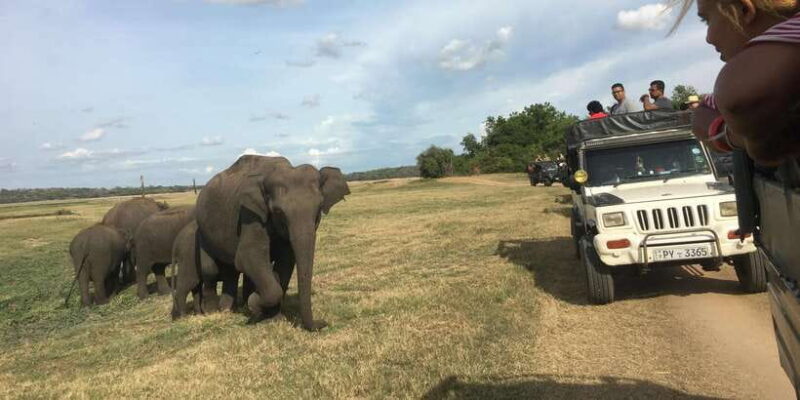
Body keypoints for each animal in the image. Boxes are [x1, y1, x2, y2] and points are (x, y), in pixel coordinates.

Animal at [196, 155, 349, 330]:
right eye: (278, 212)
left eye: (319, 208)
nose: (323, 322)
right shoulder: (250, 214)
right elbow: (248, 256)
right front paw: (255, 304)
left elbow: (286, 261)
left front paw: (272, 317)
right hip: (202, 230)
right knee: (211, 270)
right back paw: (213, 311)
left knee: (231, 271)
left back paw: (230, 308)